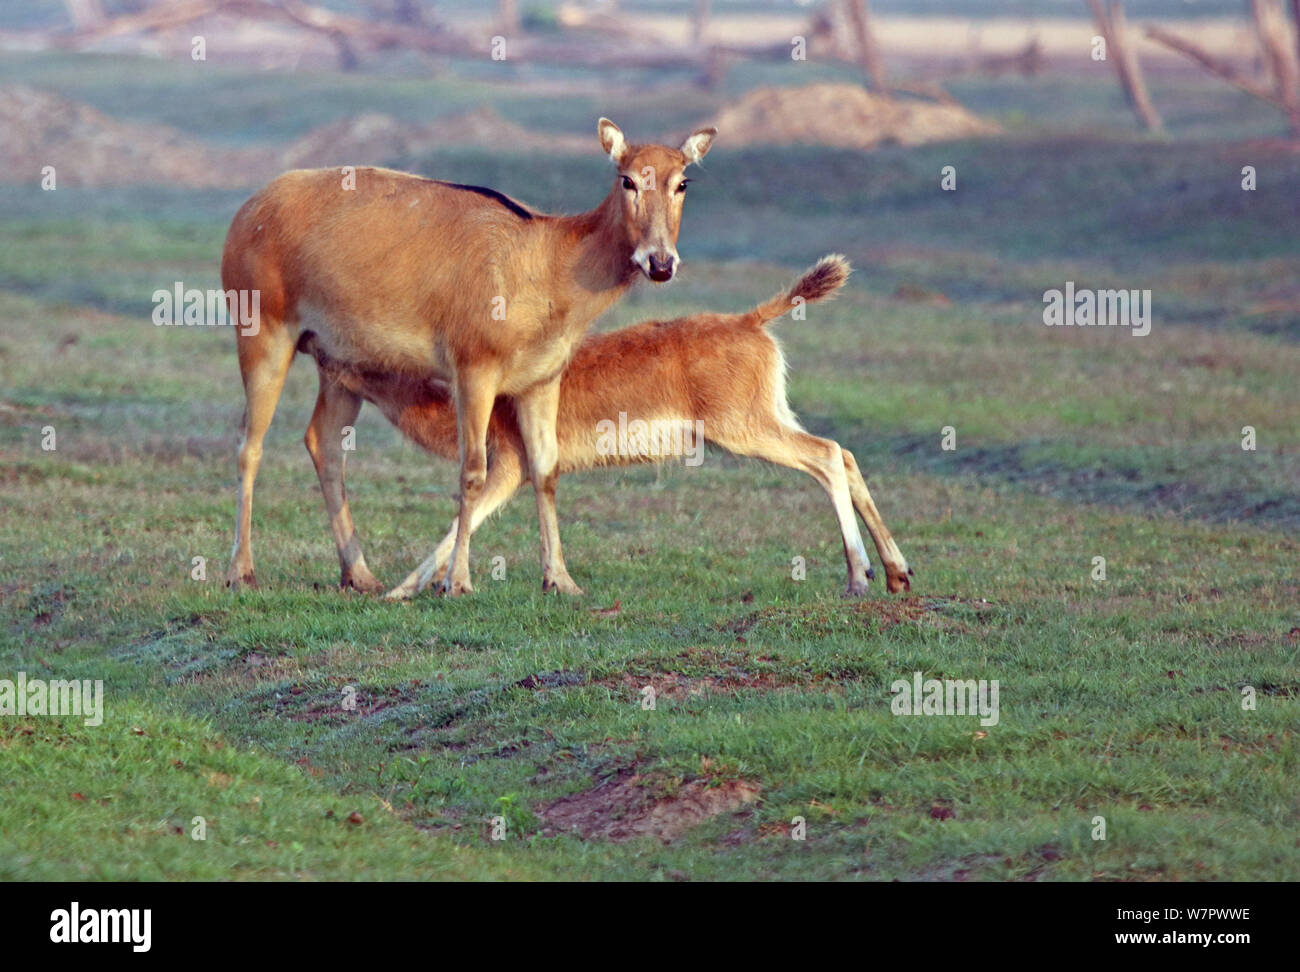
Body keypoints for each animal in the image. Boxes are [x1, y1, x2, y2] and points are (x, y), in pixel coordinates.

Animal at [221, 118, 716, 597]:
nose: (660, 262)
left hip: (338, 361)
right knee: (249, 444)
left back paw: (358, 574)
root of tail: (245, 214)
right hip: (263, 333)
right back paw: (240, 572)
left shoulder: (543, 378)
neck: (551, 270)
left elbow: (546, 469)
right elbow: (472, 471)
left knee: (322, 443)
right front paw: (457, 581)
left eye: (682, 181)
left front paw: (560, 579)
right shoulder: (474, 366)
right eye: (627, 179)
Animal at [296, 255, 913, 598]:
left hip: (747, 431)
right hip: (769, 421)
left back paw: (858, 578)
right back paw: (897, 574)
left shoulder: (509, 470)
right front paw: (402, 590)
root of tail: (750, 321)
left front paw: (402, 591)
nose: (316, 347)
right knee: (845, 453)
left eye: (368, 355)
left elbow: (454, 527)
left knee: (828, 456)